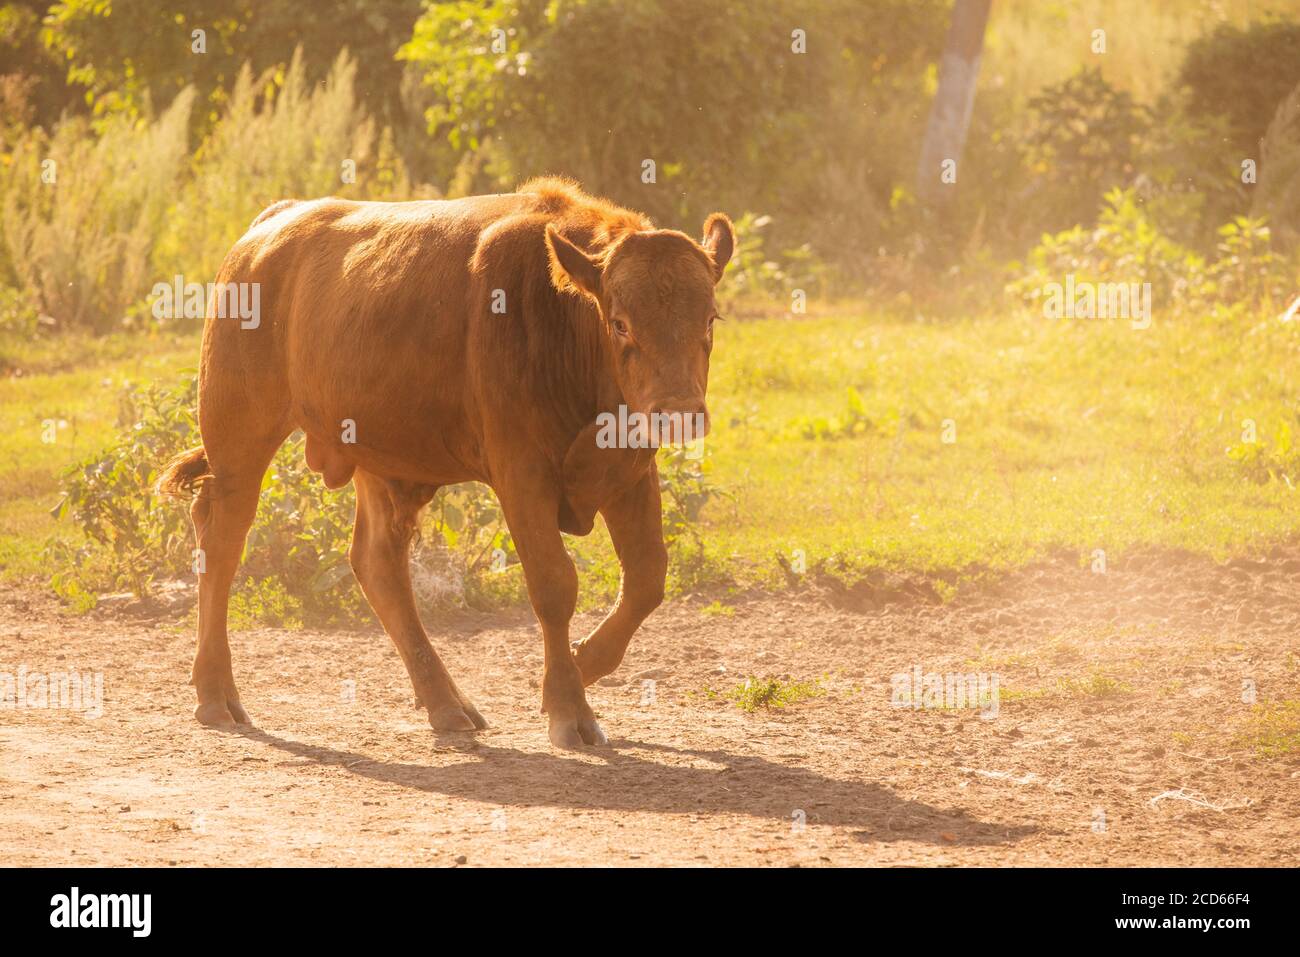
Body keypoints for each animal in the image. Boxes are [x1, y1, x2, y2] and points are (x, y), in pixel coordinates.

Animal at [157, 178, 734, 748]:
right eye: (619, 323)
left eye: (709, 318)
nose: (677, 414)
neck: (565, 322)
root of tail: (271, 225)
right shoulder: (522, 475)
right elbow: (554, 585)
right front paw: (568, 706)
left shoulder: (630, 471)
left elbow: (646, 579)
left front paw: (582, 663)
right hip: (240, 441)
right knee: (222, 541)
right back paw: (216, 695)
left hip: (374, 459)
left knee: (377, 563)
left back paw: (447, 704)